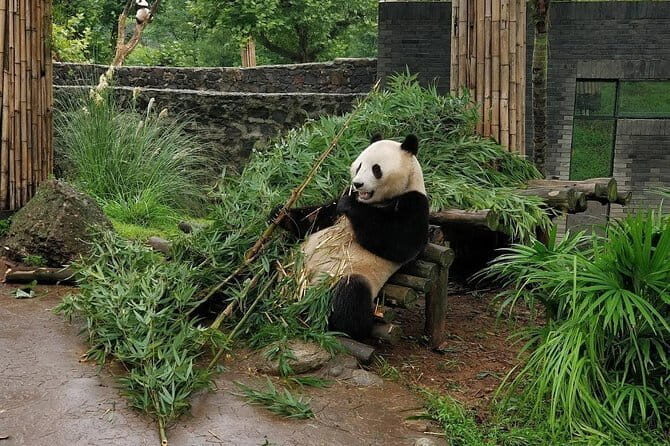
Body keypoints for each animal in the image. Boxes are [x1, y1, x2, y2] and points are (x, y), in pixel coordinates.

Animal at [274, 134, 429, 340]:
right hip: (291, 262)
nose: (357, 184)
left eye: (376, 169)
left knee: (350, 294)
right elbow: (315, 218)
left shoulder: (415, 203)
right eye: (359, 165)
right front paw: (279, 213)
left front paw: (350, 205)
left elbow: (400, 243)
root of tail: (301, 290)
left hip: (343, 276)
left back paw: (348, 327)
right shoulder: (337, 203)